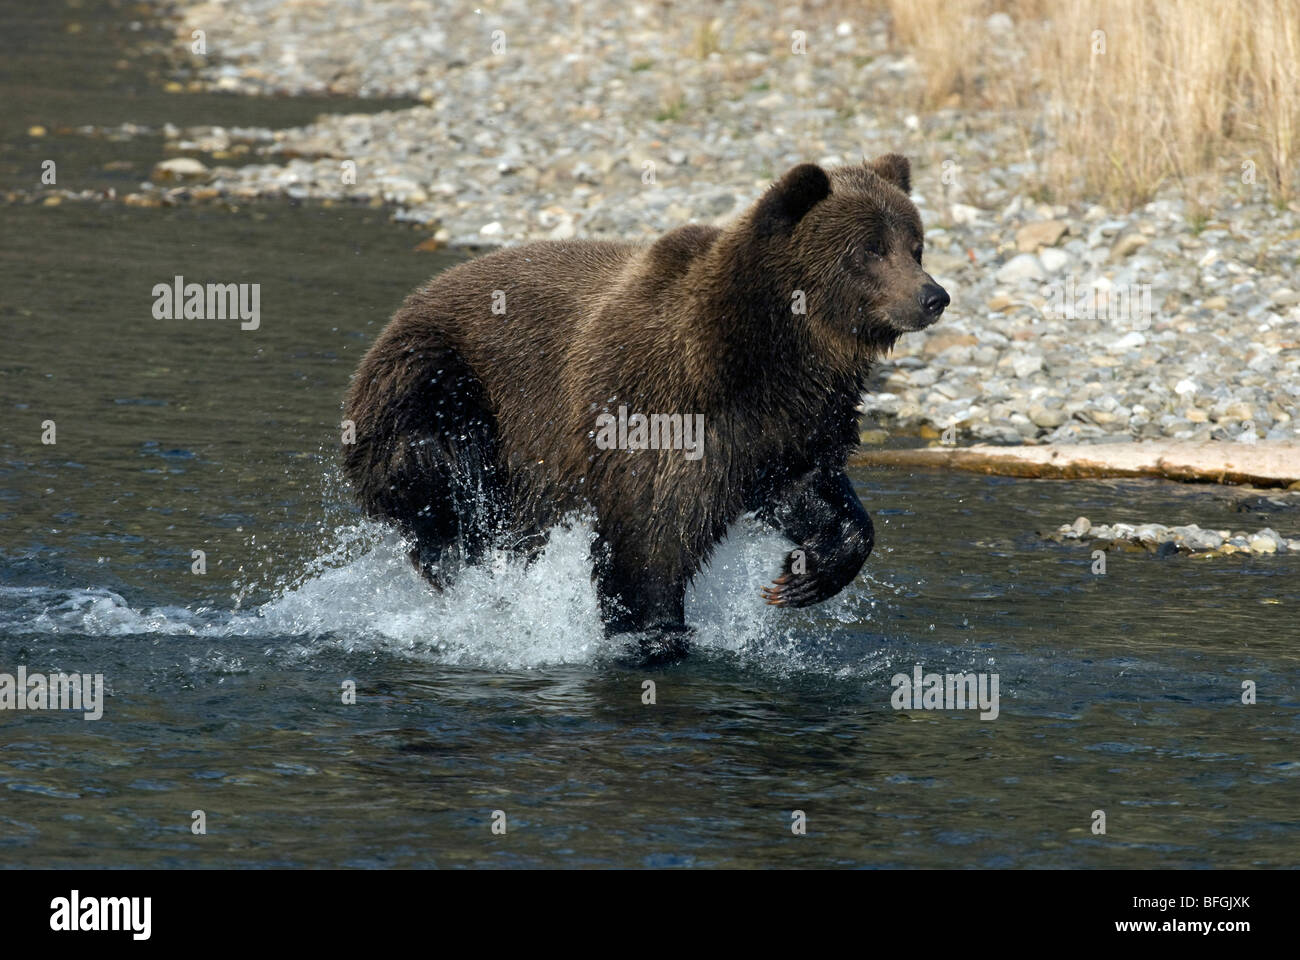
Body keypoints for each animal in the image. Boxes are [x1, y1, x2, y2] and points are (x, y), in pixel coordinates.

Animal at [342, 155, 948, 658]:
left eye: (915, 244)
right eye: (870, 249)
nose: (933, 296)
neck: (773, 353)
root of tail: (413, 299)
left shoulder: (788, 422)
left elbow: (810, 488)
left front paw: (804, 575)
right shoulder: (657, 409)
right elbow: (651, 537)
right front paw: (655, 634)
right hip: (440, 375)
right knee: (442, 465)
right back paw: (462, 561)